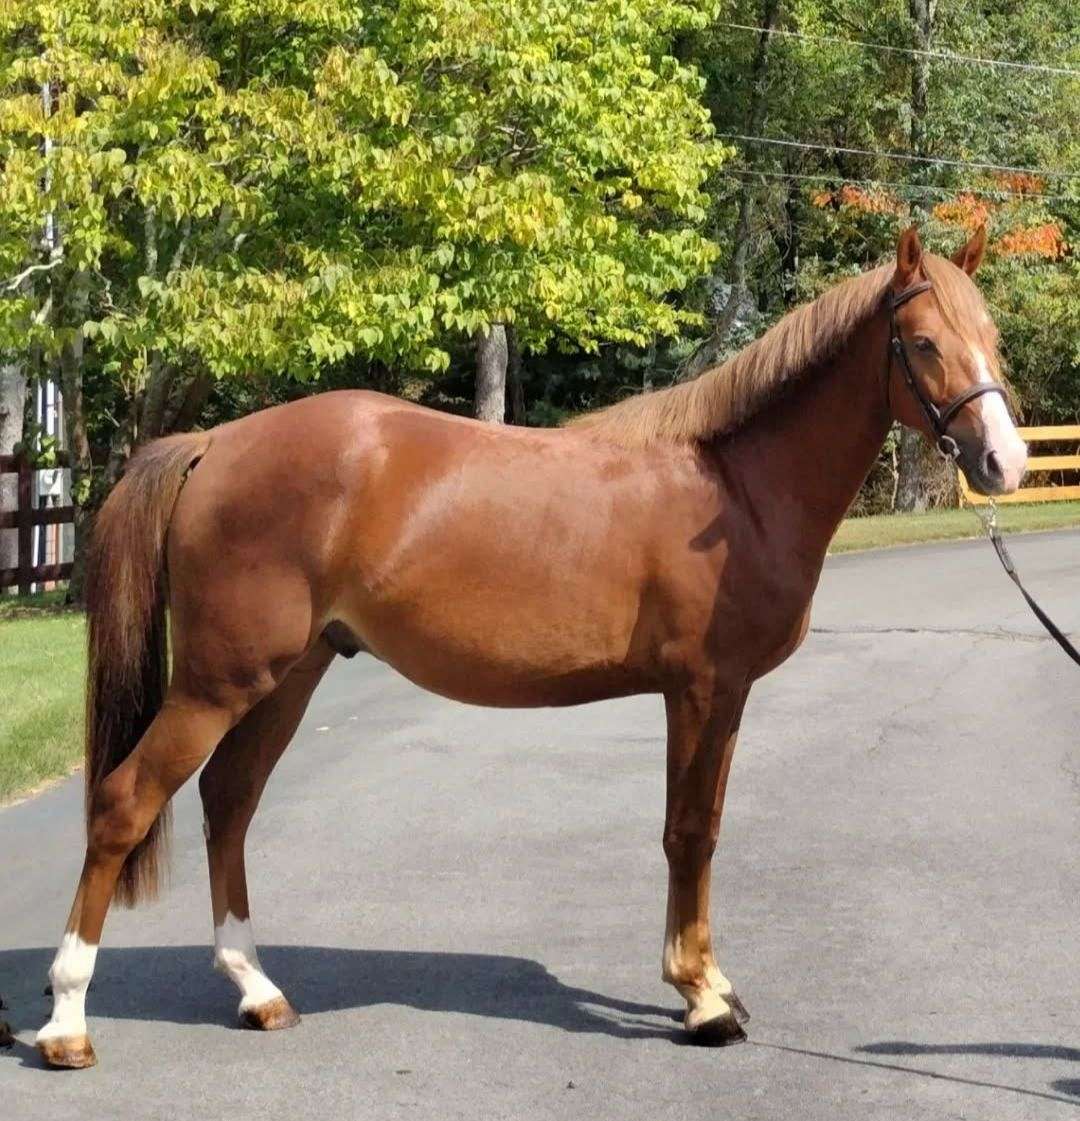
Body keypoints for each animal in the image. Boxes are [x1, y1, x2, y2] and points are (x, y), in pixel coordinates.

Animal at [35, 225, 1026, 1067]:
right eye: (924, 343)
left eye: (992, 335)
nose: (1005, 464)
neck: (733, 490)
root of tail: (214, 442)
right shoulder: (705, 688)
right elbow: (690, 832)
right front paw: (703, 999)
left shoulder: (719, 695)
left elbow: (696, 829)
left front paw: (705, 984)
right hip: (220, 681)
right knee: (124, 803)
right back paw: (67, 1019)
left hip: (288, 675)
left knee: (229, 802)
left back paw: (257, 989)